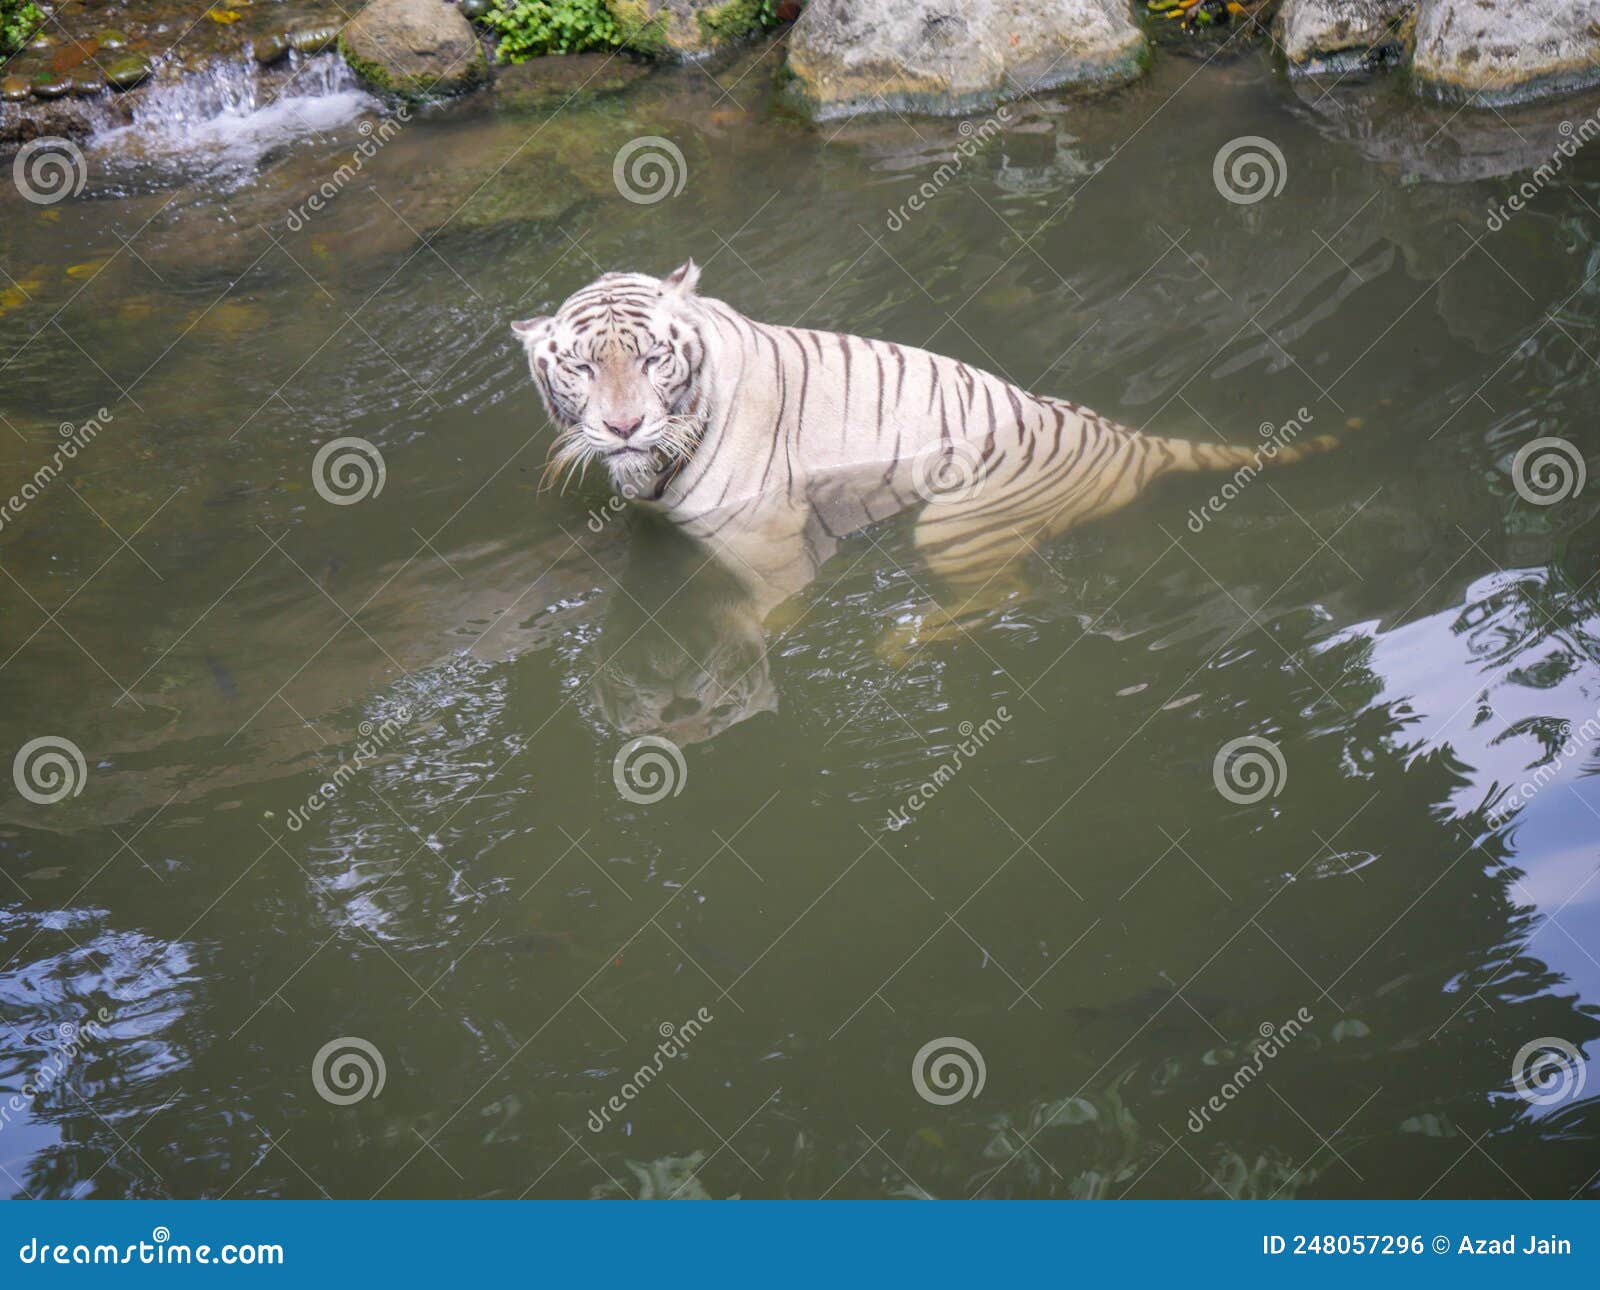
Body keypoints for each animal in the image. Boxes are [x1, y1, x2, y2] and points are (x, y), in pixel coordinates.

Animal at [512, 259, 1337, 642]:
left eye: (653, 360)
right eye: (581, 368)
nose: (623, 427)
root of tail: (1124, 438)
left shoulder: (767, 543)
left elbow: (771, 614)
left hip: (953, 524)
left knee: (1010, 595)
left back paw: (901, 641)